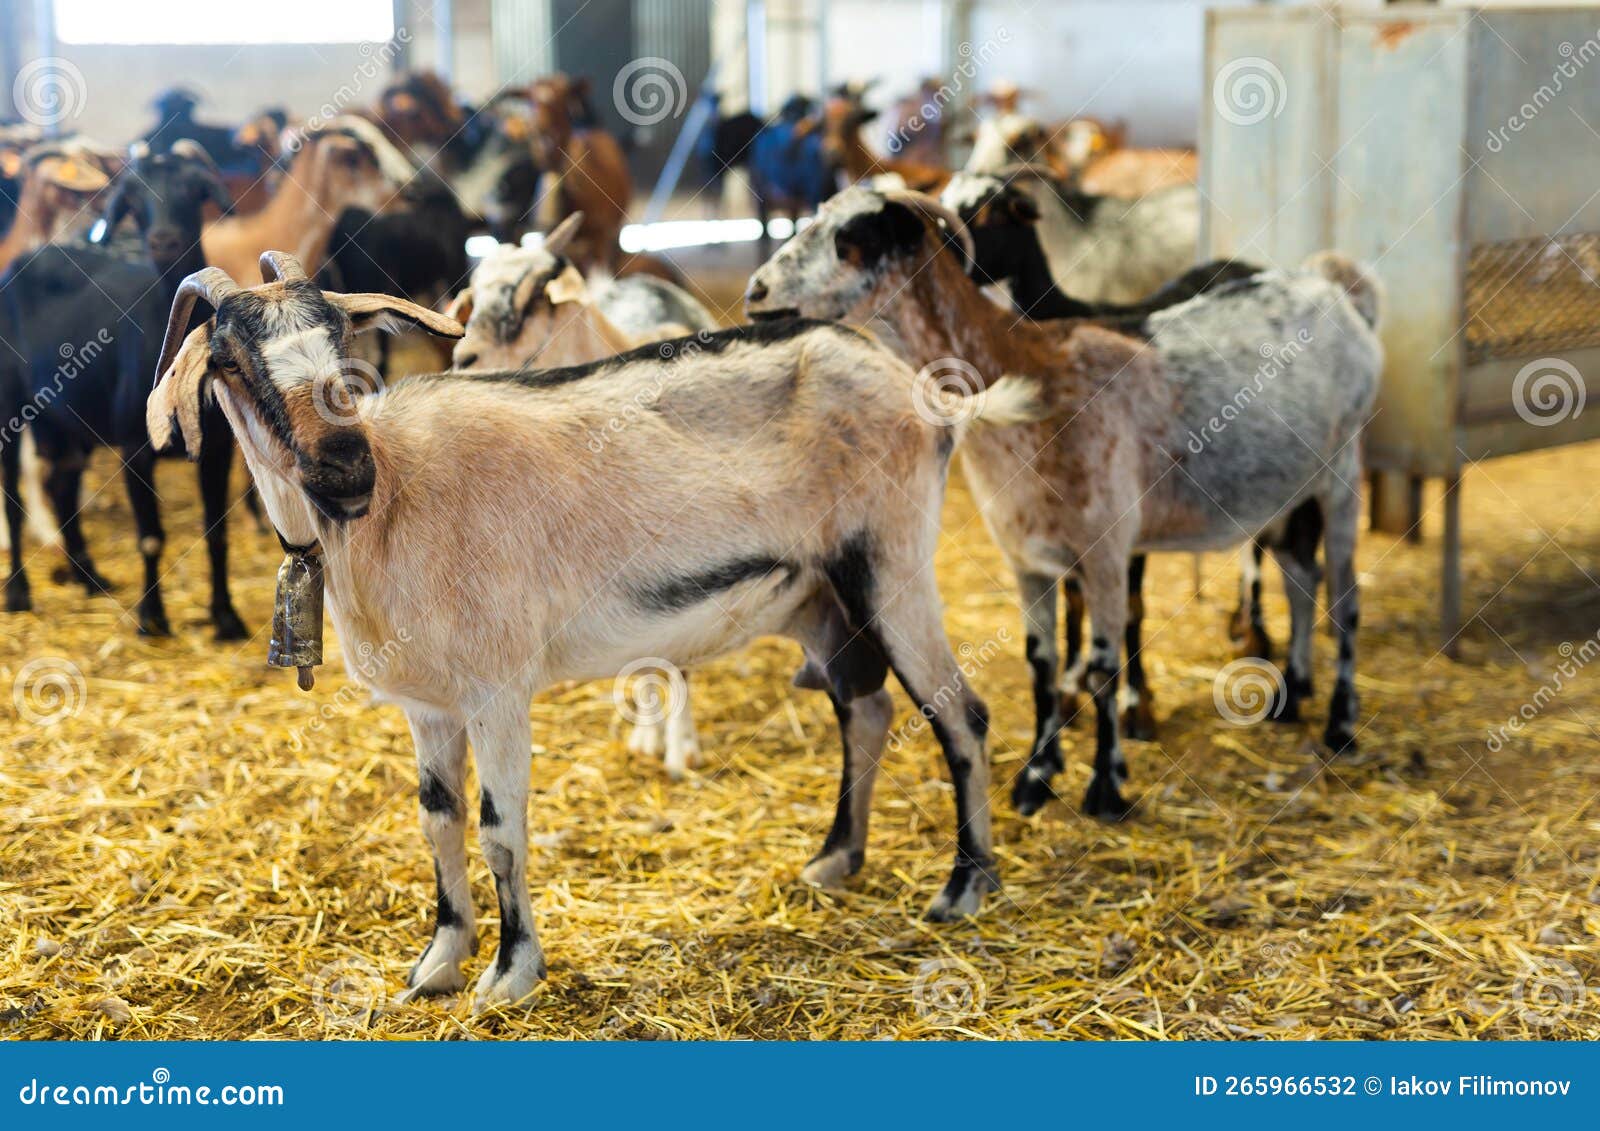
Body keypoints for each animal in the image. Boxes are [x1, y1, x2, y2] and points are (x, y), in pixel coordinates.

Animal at [0, 141, 245, 637]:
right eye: (135, 202)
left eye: (194, 190)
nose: (163, 241)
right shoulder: (135, 447)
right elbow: (150, 537)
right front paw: (152, 618)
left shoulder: (218, 447)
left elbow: (217, 530)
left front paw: (226, 617)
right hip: (8, 400)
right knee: (14, 495)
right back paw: (18, 593)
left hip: (68, 415)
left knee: (62, 482)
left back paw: (88, 577)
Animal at [745, 186, 1382, 822]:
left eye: (851, 237)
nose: (755, 295)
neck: (1026, 370)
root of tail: (1333, 284)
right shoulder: (1026, 557)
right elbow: (1043, 663)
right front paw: (1038, 774)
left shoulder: (1106, 551)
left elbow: (1102, 664)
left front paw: (1105, 785)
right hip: (1286, 491)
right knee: (1302, 579)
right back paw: (1291, 696)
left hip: (1343, 470)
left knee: (1346, 598)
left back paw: (1340, 725)